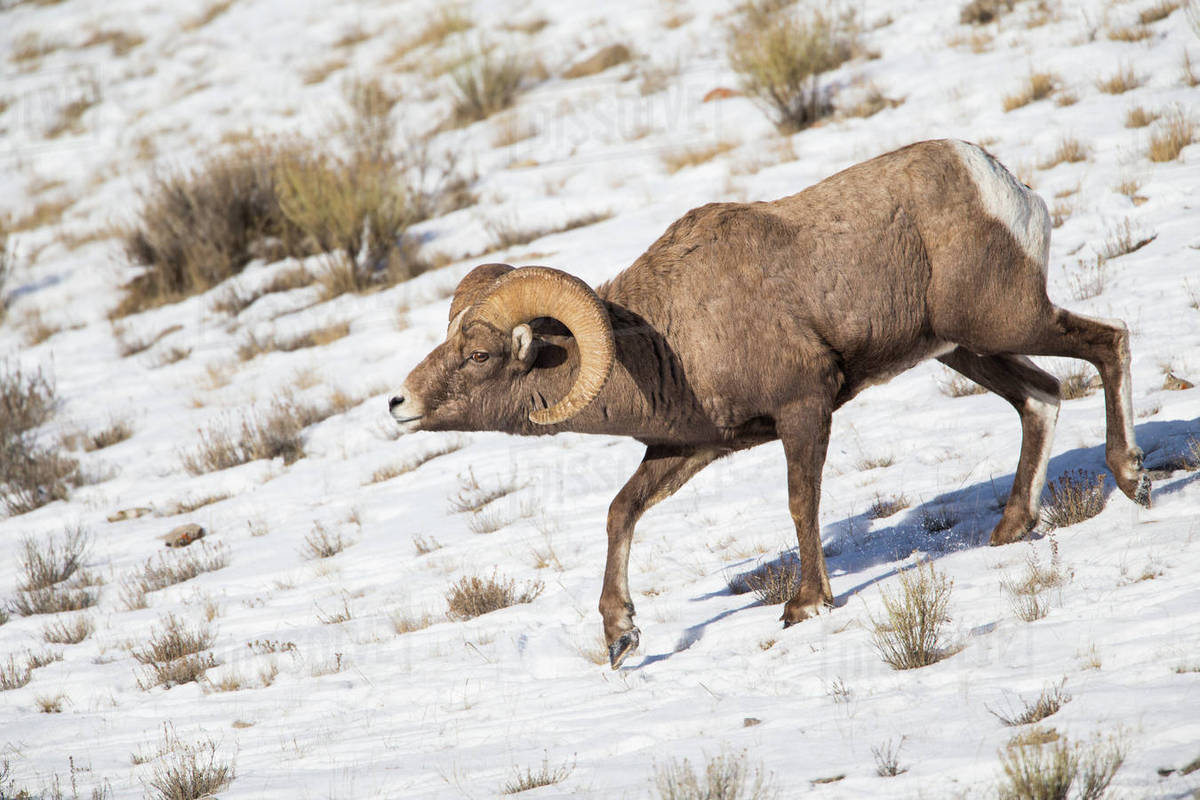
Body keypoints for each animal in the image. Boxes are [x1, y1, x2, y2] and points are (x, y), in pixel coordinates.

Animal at [390, 139, 1149, 669]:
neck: (672, 336)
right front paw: (621, 637)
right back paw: (1012, 529)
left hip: (1005, 323)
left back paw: (1132, 477)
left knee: (1109, 342)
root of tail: (1000, 183)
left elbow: (800, 503)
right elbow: (620, 513)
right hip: (966, 347)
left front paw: (806, 605)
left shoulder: (803, 410)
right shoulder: (686, 449)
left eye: (478, 356)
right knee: (1042, 399)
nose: (399, 404)